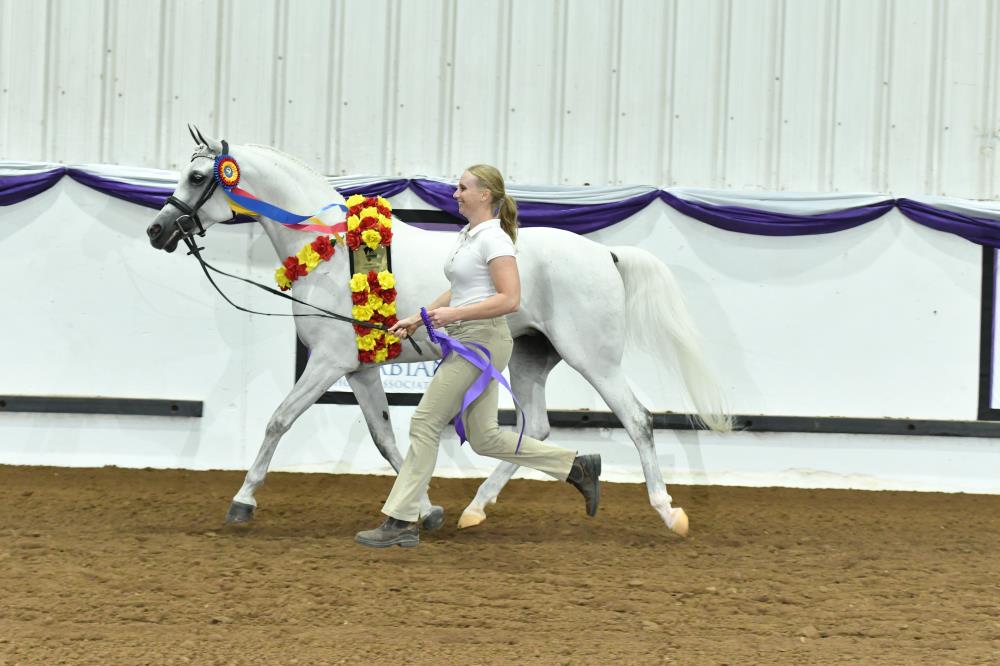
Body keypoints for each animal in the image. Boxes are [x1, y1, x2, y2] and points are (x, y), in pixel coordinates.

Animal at [145, 127, 732, 537]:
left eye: (197, 178)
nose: (157, 230)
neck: (328, 251)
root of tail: (605, 254)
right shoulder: (359, 369)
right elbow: (384, 437)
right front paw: (425, 511)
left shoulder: (329, 363)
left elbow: (278, 421)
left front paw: (242, 503)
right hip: (531, 357)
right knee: (537, 428)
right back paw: (476, 509)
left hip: (594, 357)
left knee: (637, 420)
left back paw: (668, 512)